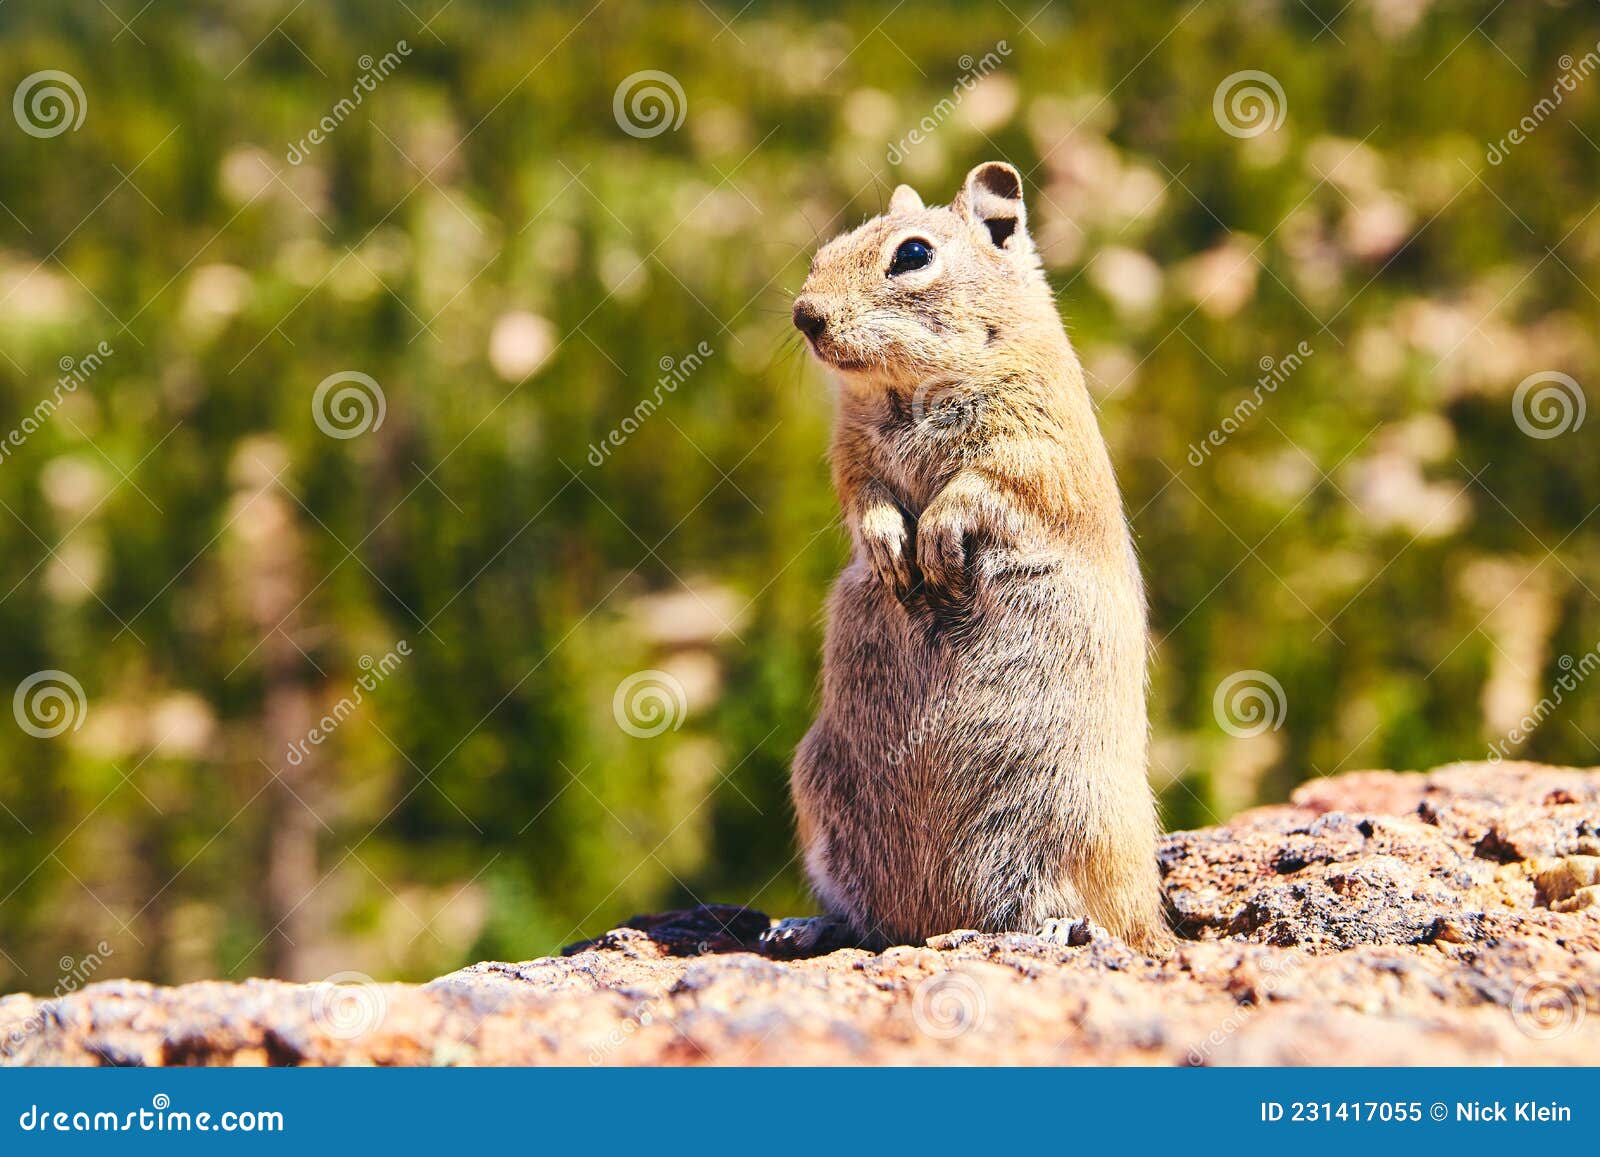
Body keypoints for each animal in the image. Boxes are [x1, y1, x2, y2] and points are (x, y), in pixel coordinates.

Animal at [762, 161, 1171, 958]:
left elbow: (987, 484)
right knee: (866, 916)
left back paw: (1057, 929)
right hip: (818, 788)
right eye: (827, 249)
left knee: (1104, 914)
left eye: (913, 254)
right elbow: (865, 497)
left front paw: (938, 540)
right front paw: (892, 549)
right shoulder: (851, 457)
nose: (804, 315)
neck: (906, 391)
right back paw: (804, 927)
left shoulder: (1035, 444)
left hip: (1077, 816)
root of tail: (936, 919)